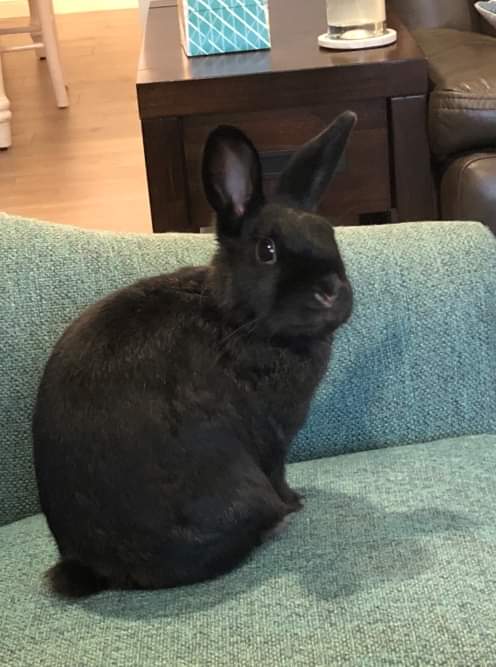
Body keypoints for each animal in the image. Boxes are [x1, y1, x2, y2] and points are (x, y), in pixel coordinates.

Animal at [32, 111, 356, 598]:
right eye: (267, 250)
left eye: (330, 234)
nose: (331, 290)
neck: (234, 319)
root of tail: (93, 566)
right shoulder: (270, 440)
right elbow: (278, 472)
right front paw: (295, 502)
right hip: (240, 487)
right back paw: (274, 522)